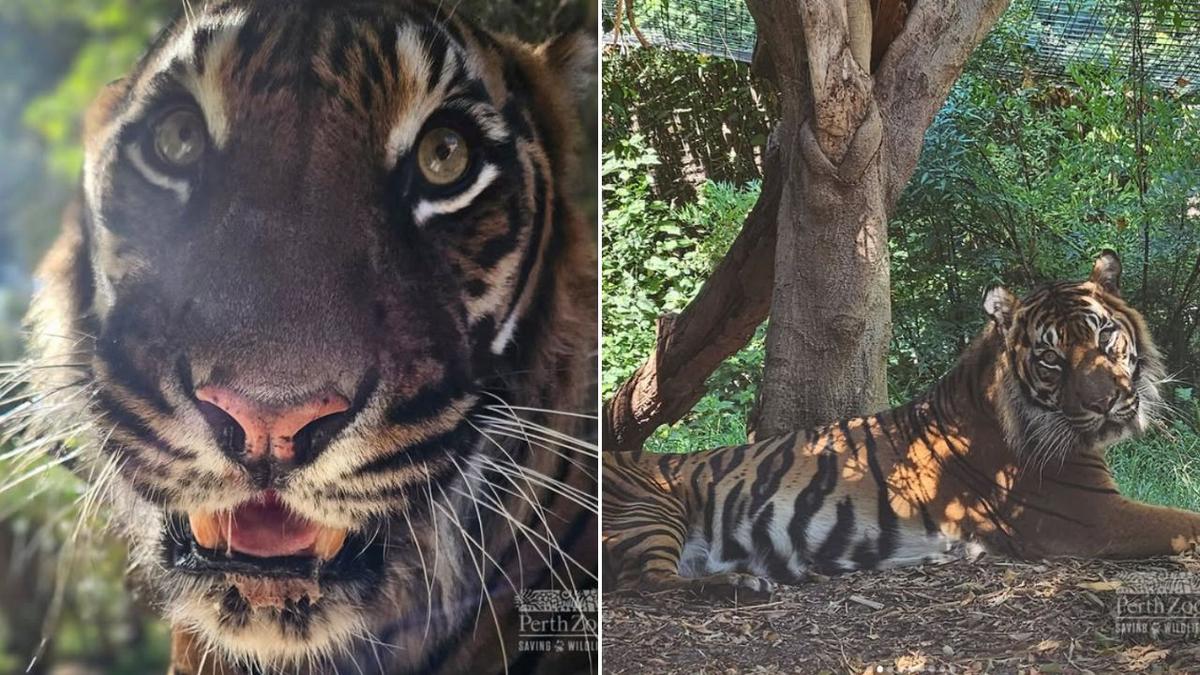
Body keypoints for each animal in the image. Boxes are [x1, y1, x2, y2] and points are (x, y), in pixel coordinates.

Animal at [603, 251, 1200, 598]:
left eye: (1104, 337)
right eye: (1051, 358)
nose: (1108, 402)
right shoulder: (1090, 516)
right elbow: (1186, 521)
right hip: (648, 508)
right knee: (645, 585)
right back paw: (747, 584)